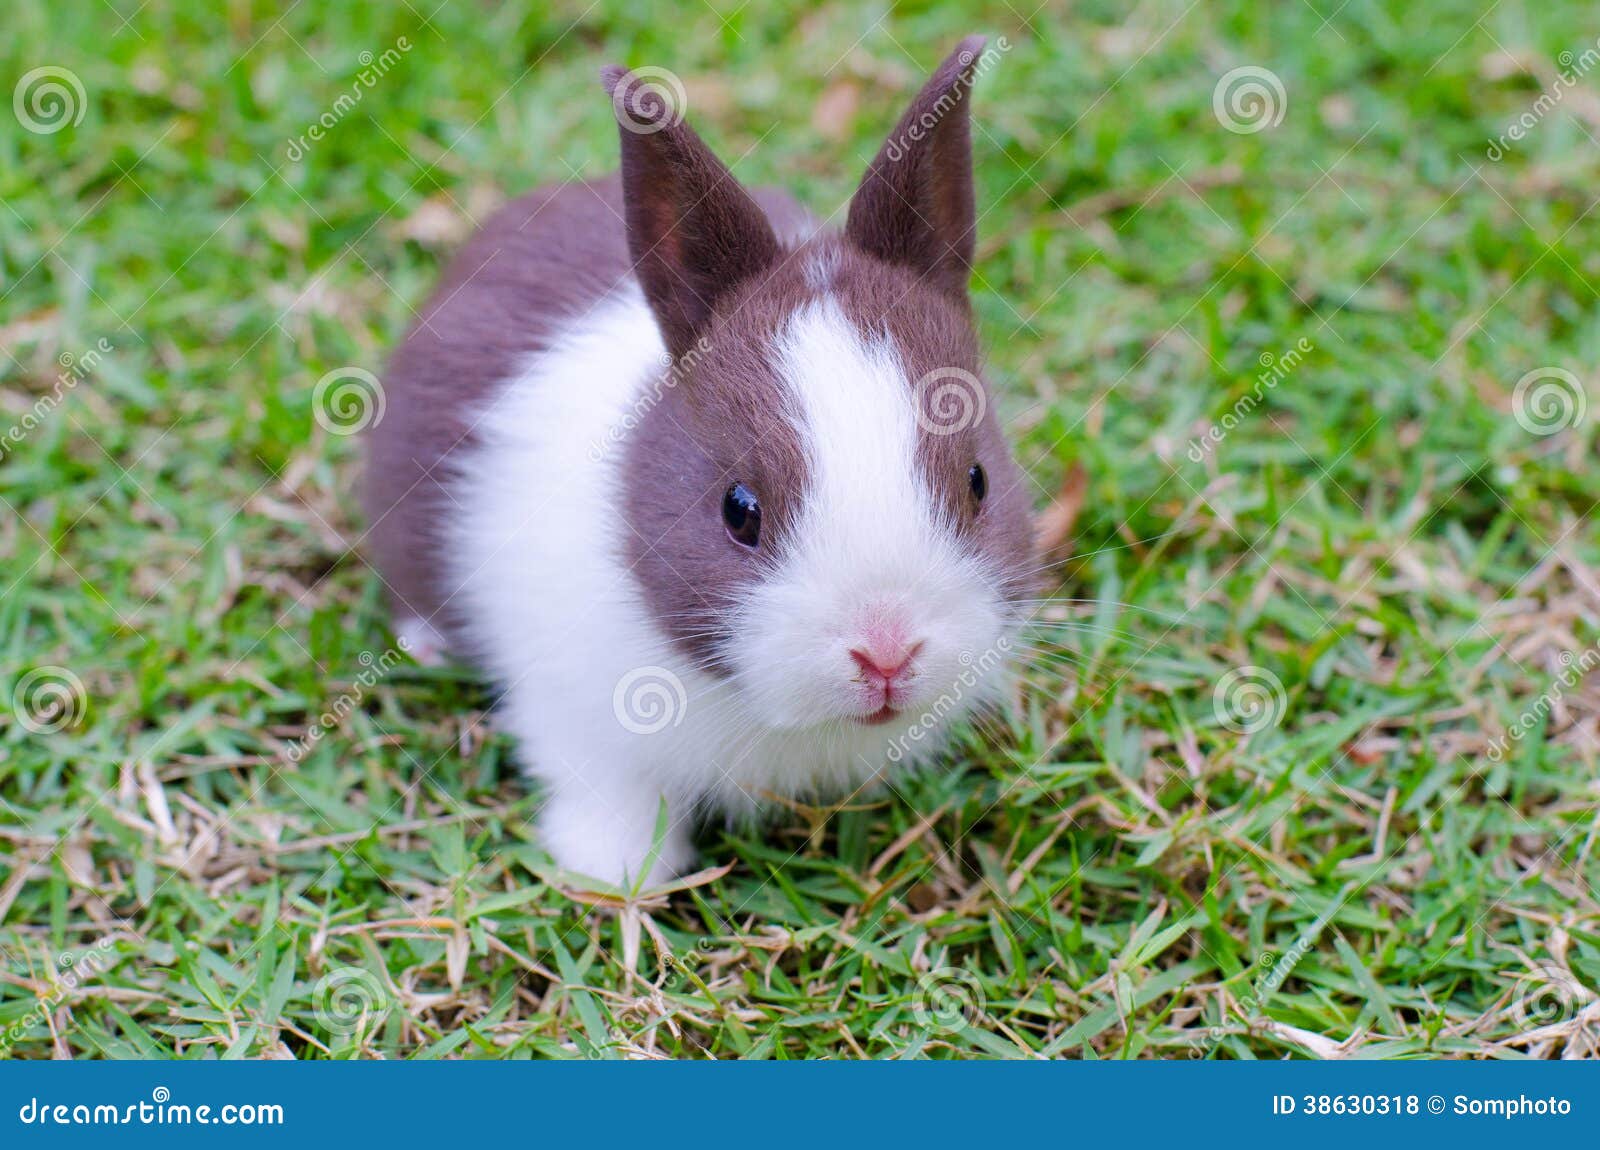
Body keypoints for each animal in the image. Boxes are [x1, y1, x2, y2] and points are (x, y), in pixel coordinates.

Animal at [362, 35, 1036, 885]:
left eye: (978, 482)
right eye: (738, 510)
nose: (886, 653)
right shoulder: (573, 718)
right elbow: (615, 798)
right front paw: (614, 878)